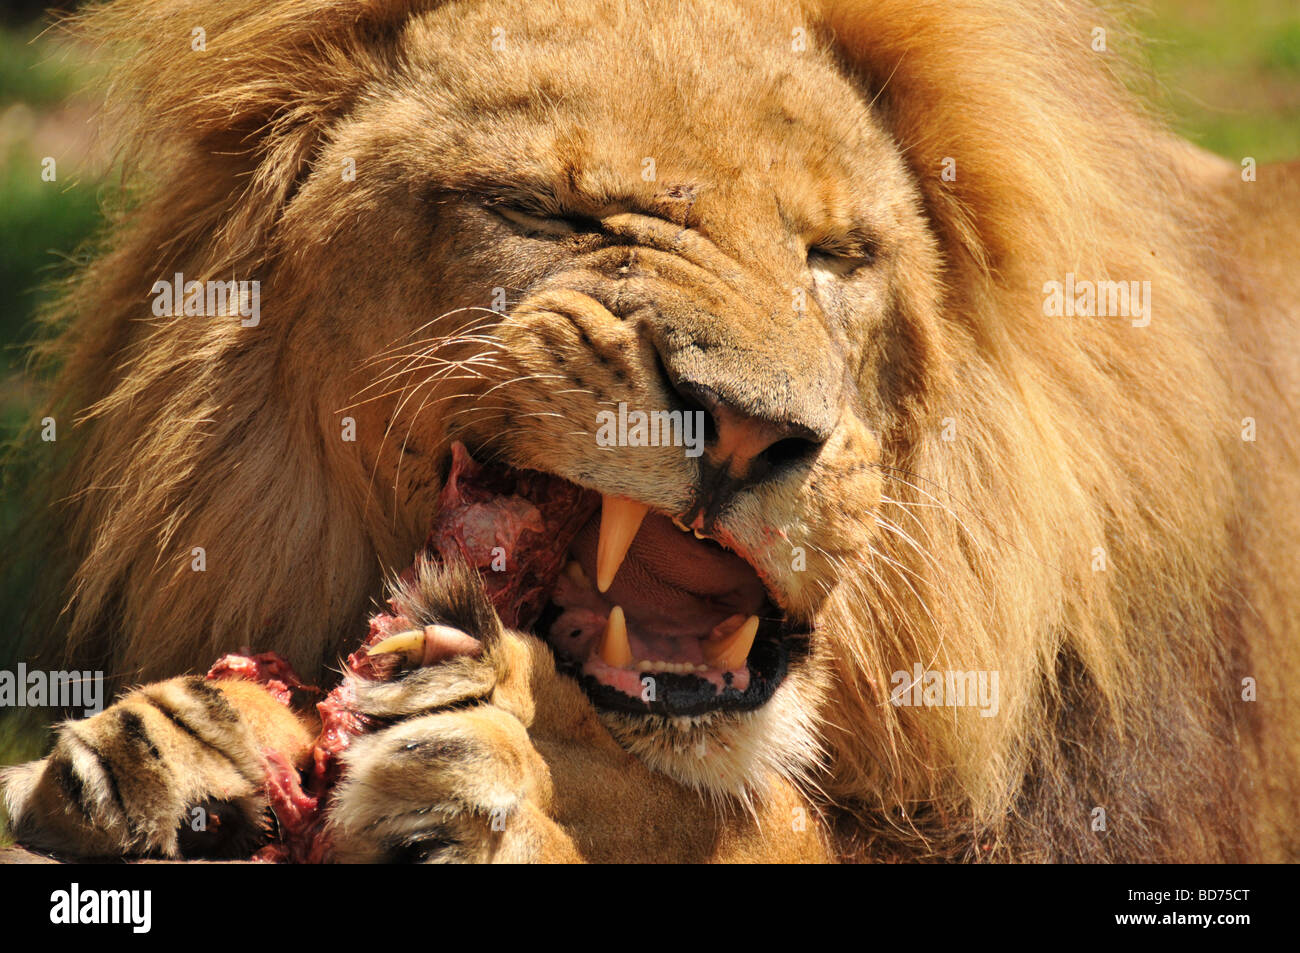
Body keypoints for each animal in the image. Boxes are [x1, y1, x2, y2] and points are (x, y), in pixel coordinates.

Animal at [2, 0, 1298, 863]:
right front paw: (189, 740)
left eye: (836, 254)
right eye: (546, 210)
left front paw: (503, 765)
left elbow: (742, 817)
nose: (749, 429)